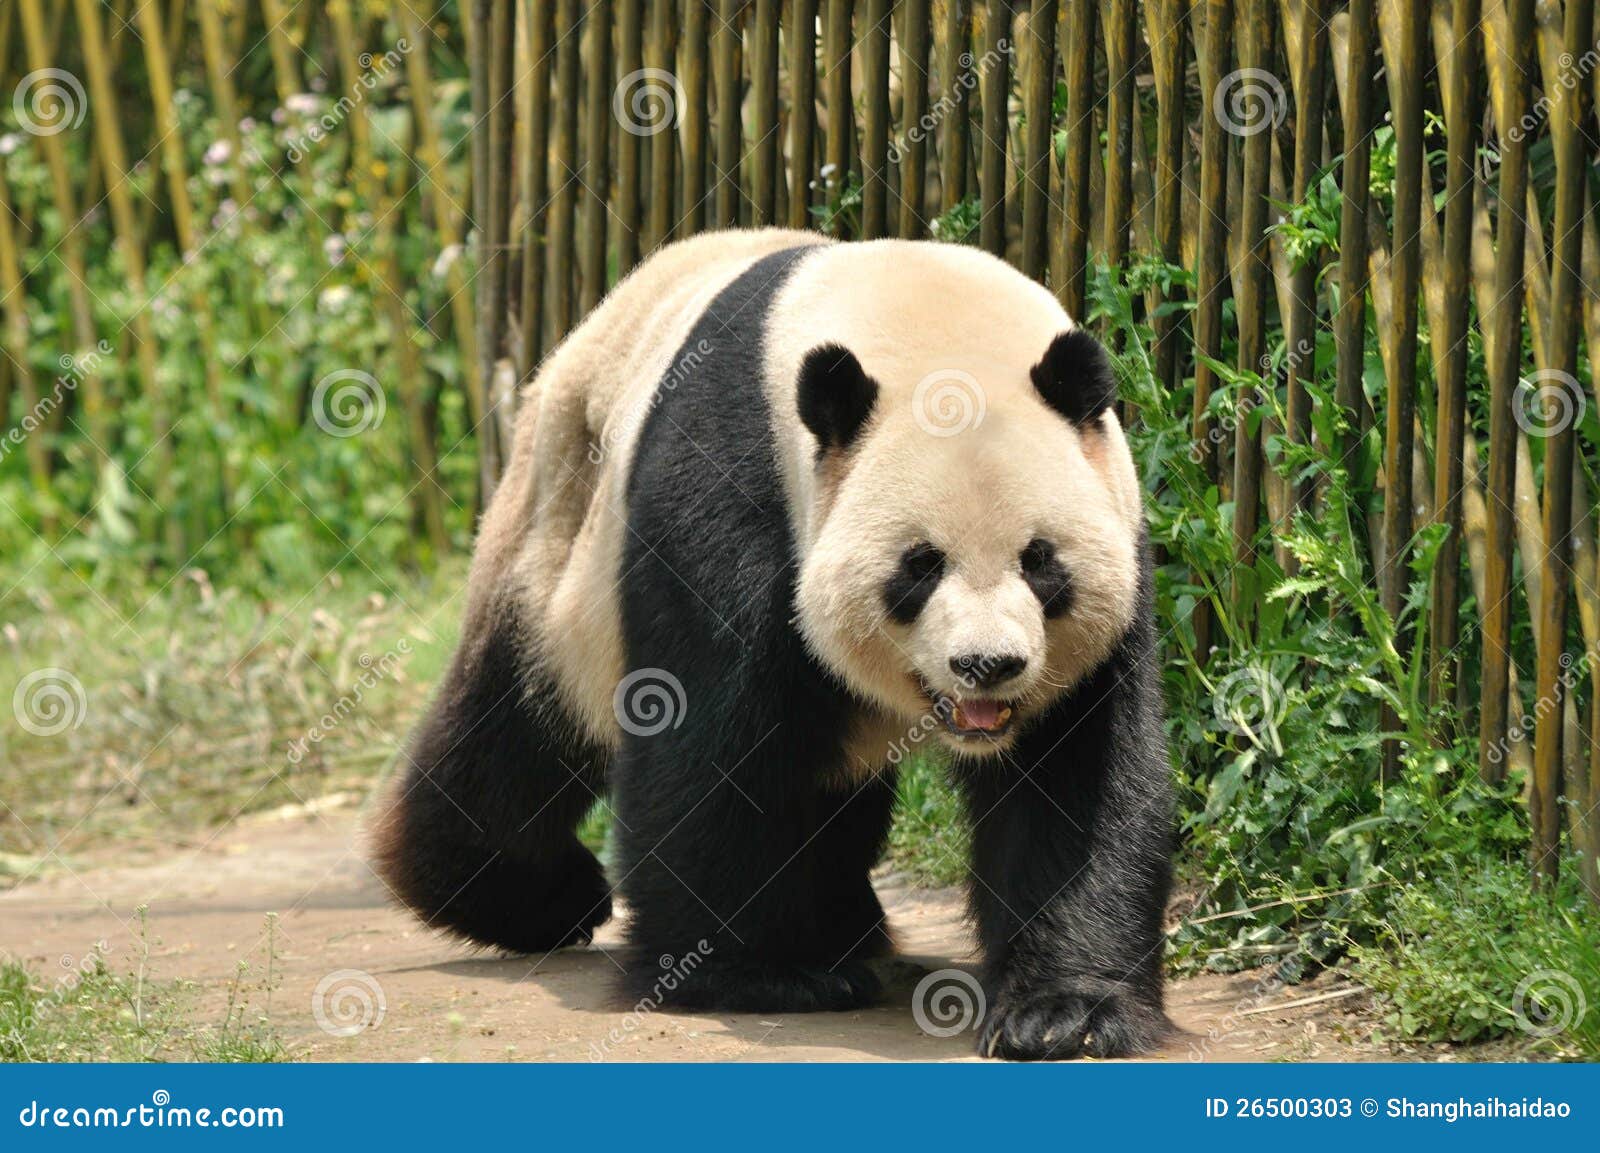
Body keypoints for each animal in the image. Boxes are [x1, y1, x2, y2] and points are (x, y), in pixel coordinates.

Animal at [371, 229, 1173, 1060]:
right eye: (920, 565)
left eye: (1040, 560)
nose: (988, 666)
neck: (928, 322)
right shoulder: (735, 486)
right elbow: (708, 743)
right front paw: (756, 974)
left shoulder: (1114, 554)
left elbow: (1073, 779)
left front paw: (1063, 1012)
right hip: (559, 531)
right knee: (516, 730)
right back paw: (525, 893)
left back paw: (846, 923)